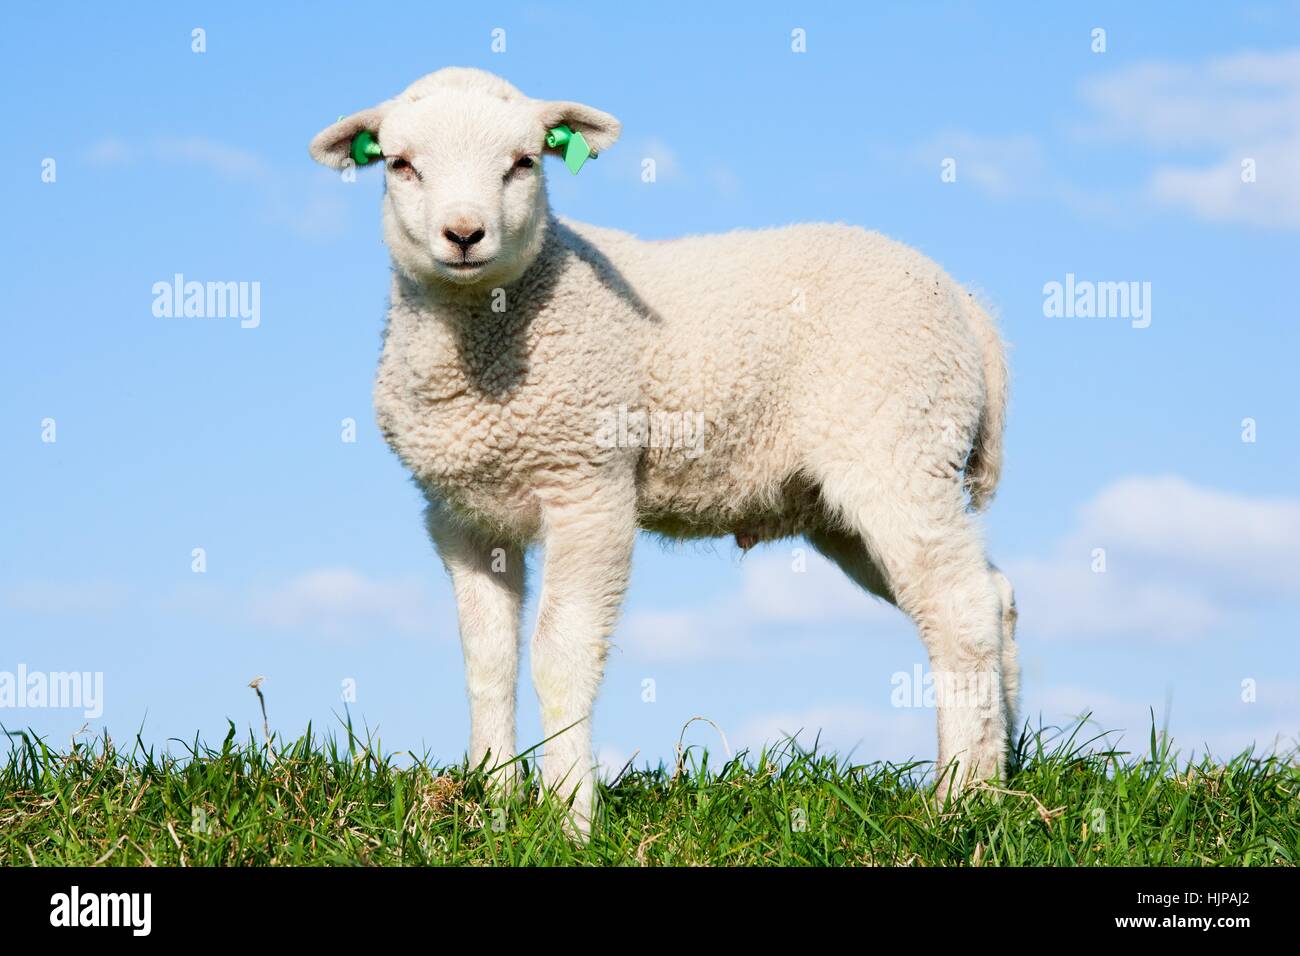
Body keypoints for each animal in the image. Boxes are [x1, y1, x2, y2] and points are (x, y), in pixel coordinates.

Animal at [310, 67, 1018, 835]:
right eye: (400, 165)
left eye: (524, 163)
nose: (464, 234)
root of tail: (970, 310)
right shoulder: (458, 515)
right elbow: (487, 660)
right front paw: (492, 805)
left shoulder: (588, 486)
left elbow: (560, 652)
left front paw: (569, 815)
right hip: (855, 502)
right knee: (991, 593)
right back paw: (1006, 774)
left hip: (897, 444)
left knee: (959, 609)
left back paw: (960, 798)